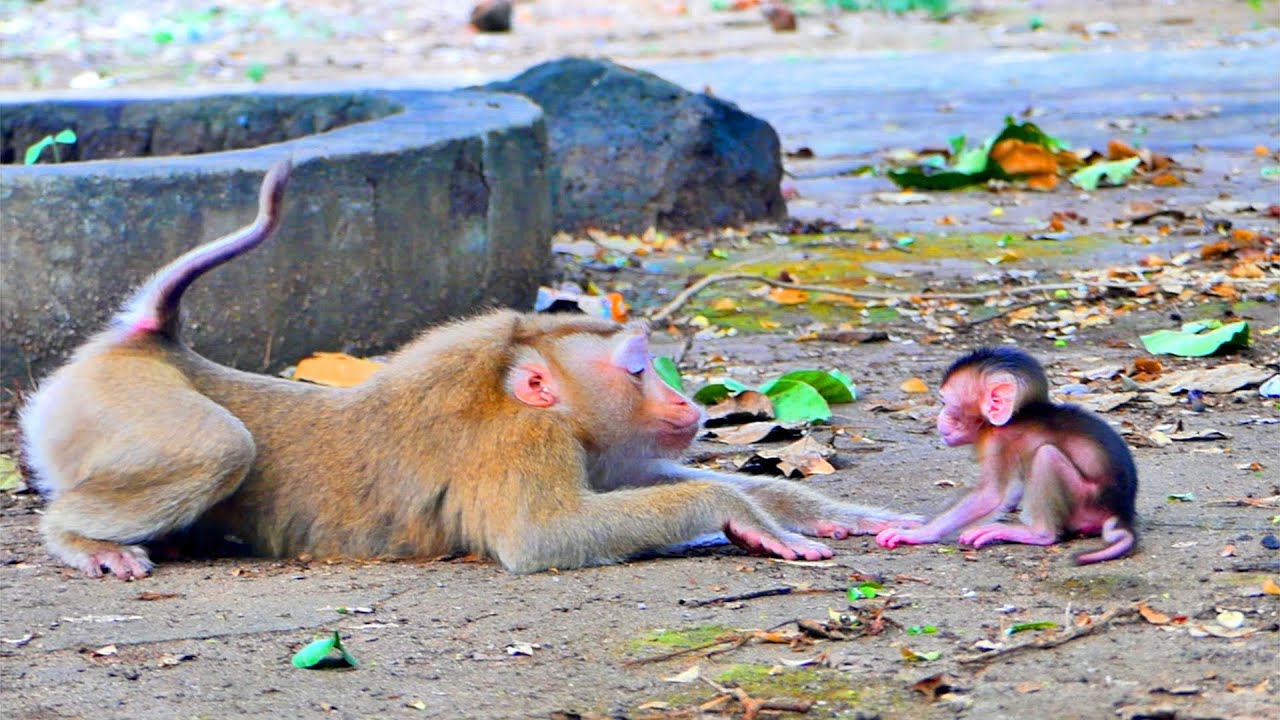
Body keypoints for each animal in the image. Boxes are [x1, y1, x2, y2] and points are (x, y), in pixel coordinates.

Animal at [19, 160, 921, 580]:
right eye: (637, 371)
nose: (682, 401)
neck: (534, 399)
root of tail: (150, 344)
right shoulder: (520, 445)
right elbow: (544, 537)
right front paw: (735, 512)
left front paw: (821, 510)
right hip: (119, 401)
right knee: (219, 448)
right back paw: (80, 538)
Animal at [875, 347, 1138, 565]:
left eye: (944, 403)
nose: (939, 419)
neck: (1014, 416)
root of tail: (1120, 511)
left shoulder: (996, 441)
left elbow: (989, 495)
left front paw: (917, 533)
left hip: (1087, 502)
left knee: (1046, 455)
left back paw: (1037, 533)